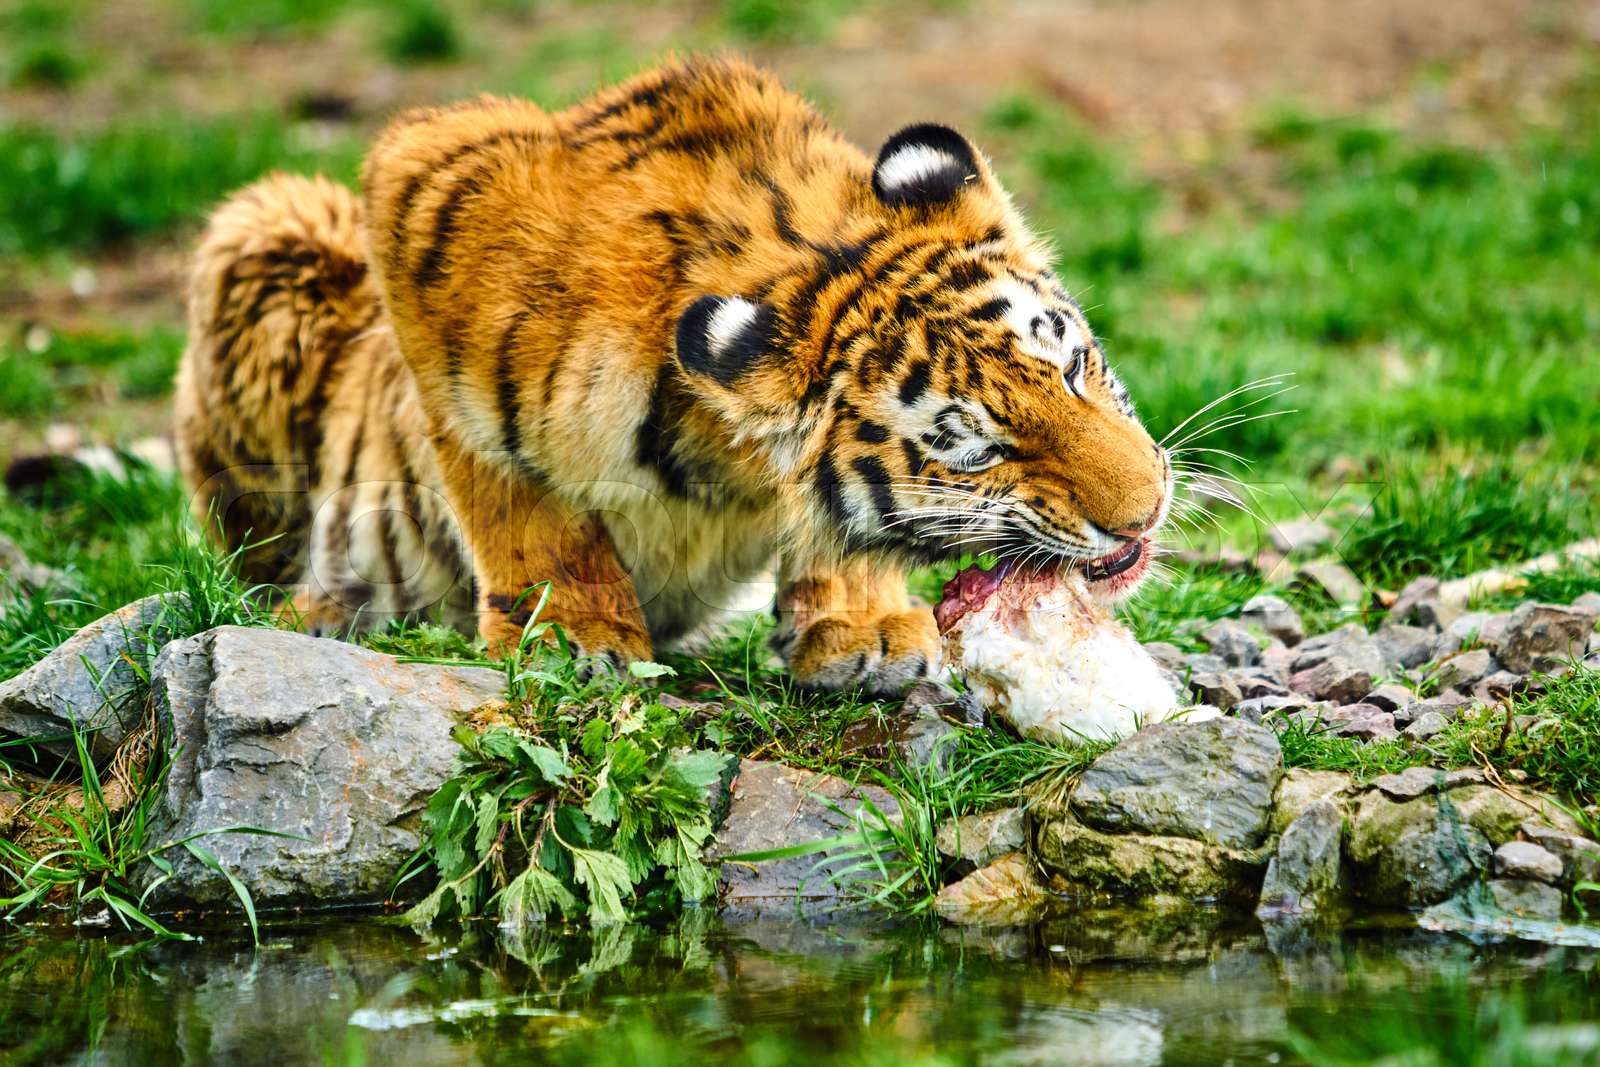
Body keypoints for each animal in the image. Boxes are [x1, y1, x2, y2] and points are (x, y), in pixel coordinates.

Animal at [174, 55, 1171, 695]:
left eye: (1072, 366)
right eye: (977, 451)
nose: (1148, 509)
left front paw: (865, 626)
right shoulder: (426, 188)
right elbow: (516, 493)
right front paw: (571, 638)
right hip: (273, 227)